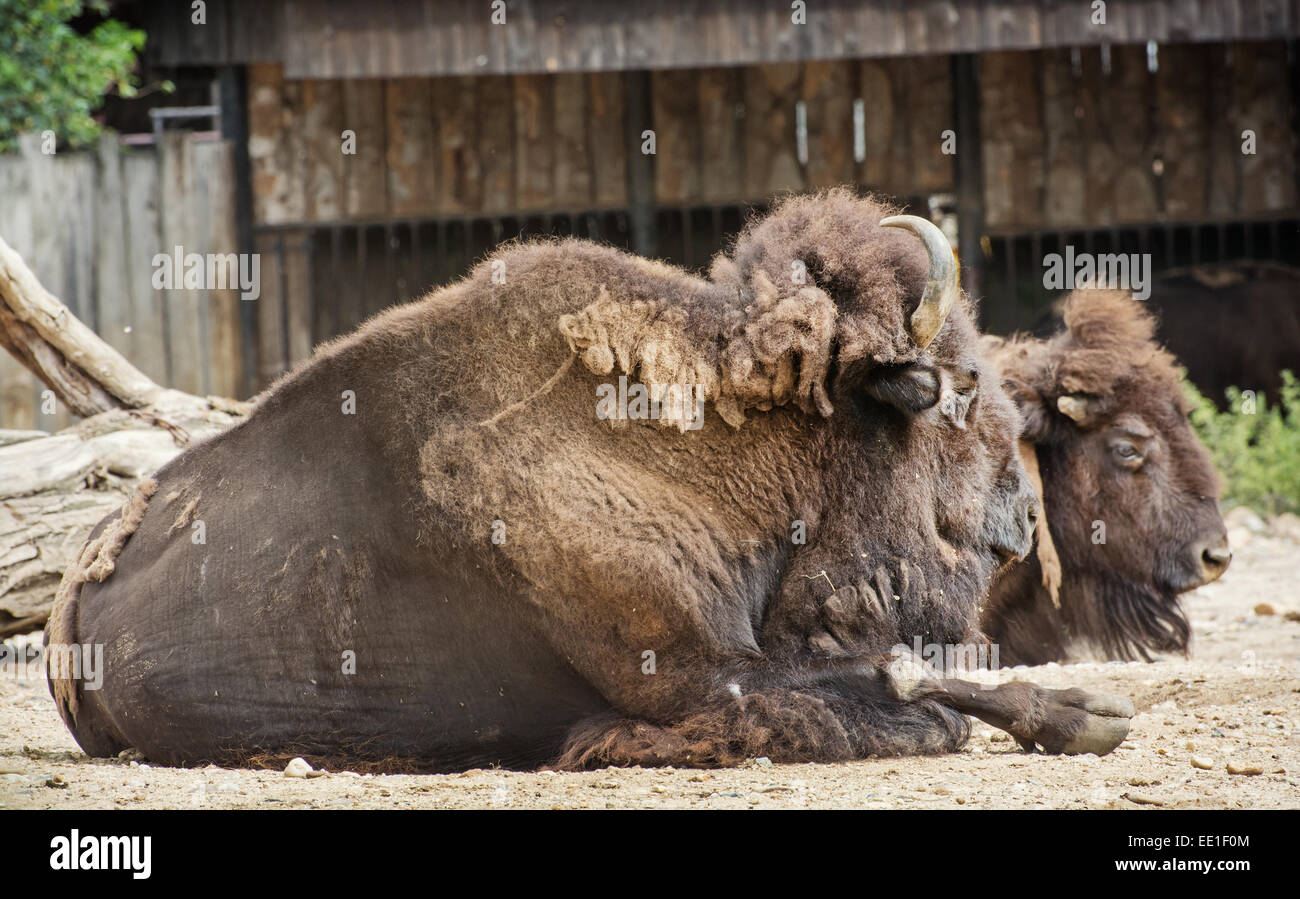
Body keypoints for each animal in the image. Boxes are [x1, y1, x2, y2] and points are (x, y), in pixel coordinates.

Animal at [48, 190, 1133, 771]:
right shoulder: (694, 667)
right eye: (953, 391)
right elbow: (900, 691)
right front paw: (1074, 712)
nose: (1020, 512)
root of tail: (69, 614)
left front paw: (1087, 712)